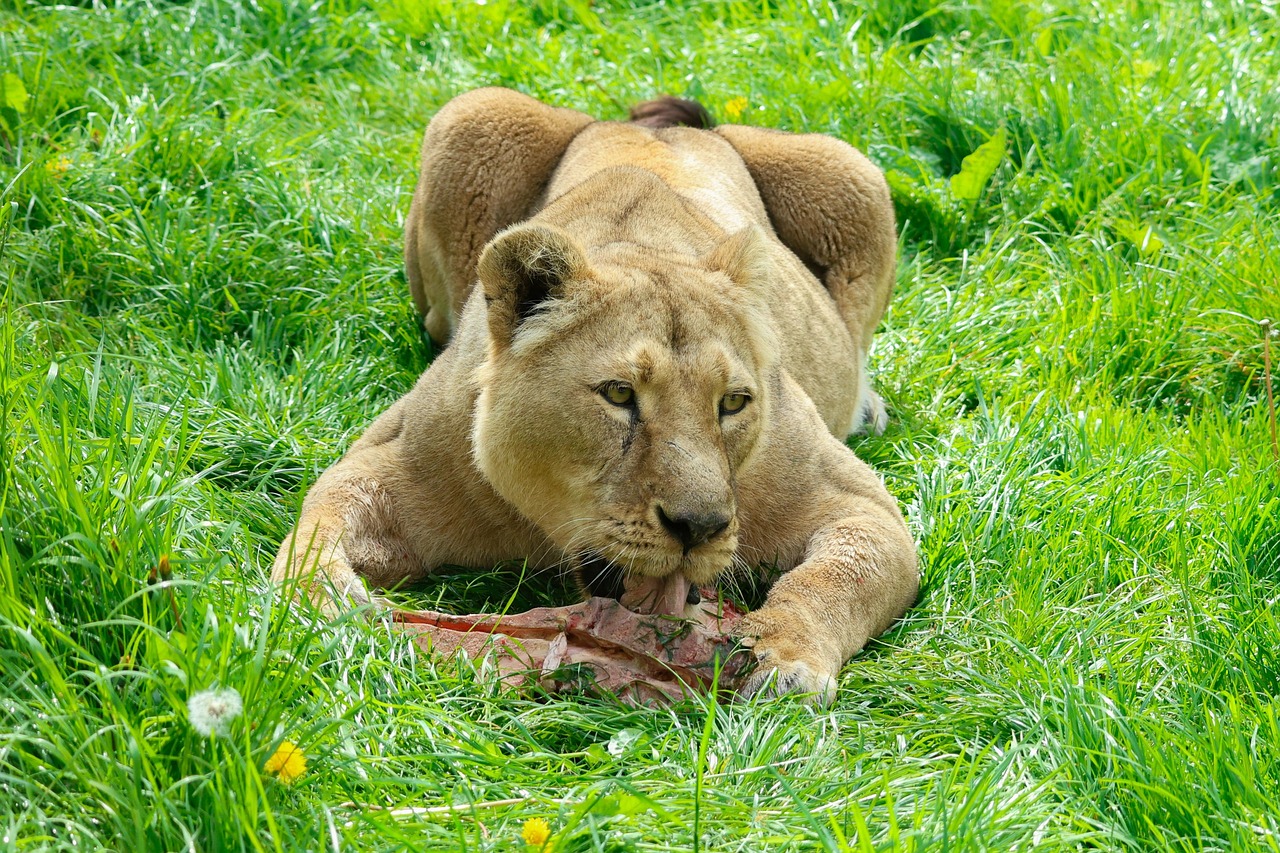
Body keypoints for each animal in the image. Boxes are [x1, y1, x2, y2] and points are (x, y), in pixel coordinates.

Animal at [273, 88, 919, 704]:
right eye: (618, 394)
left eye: (733, 403)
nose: (700, 527)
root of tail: (650, 127)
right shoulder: (393, 460)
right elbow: (315, 529)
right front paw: (323, 607)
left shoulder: (855, 501)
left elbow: (835, 578)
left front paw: (784, 661)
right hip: (472, 117)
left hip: (851, 171)